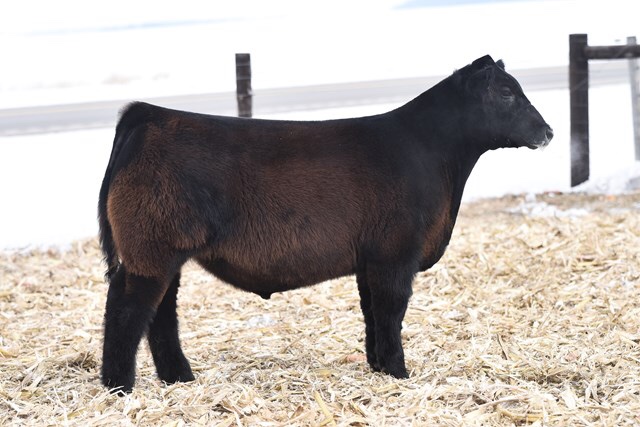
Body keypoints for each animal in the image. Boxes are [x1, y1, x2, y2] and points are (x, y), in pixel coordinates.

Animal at [98, 55, 553, 393]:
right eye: (508, 93)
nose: (547, 131)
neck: (435, 156)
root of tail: (147, 114)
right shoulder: (395, 254)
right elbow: (391, 311)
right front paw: (399, 371)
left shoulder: (370, 259)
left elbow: (372, 312)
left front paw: (378, 367)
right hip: (151, 252)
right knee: (127, 310)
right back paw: (119, 386)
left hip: (164, 254)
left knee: (161, 313)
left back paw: (179, 378)